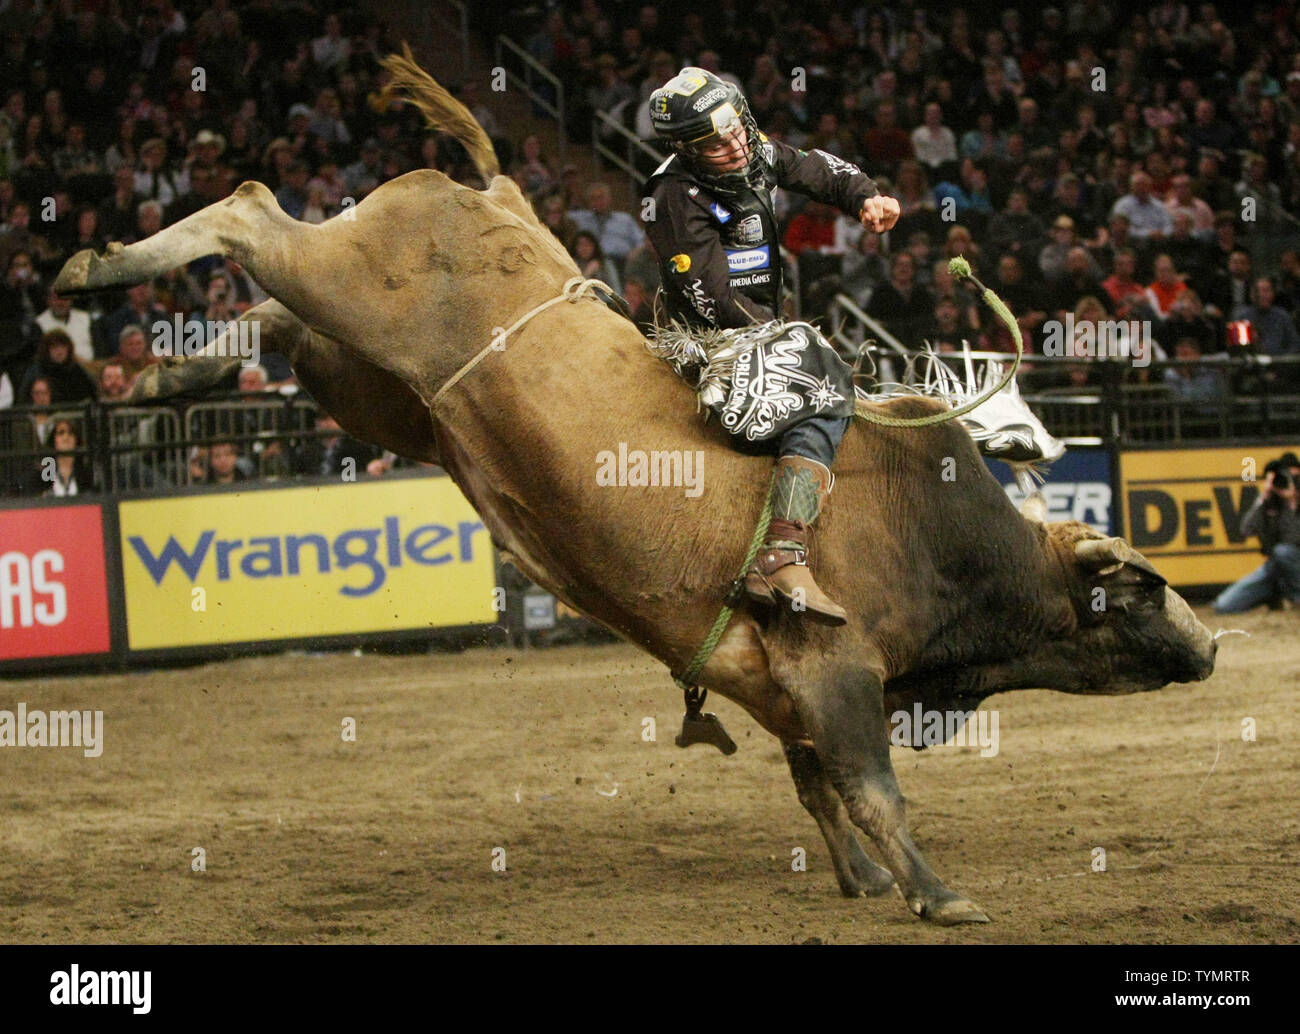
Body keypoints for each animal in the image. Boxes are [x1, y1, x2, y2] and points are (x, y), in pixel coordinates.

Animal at [52, 48, 1217, 925]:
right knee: (252, 214)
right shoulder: (836, 668)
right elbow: (873, 791)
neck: (949, 537)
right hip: (353, 296)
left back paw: (169, 372)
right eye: (1149, 583)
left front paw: (860, 879)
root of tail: (497, 193)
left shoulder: (788, 691)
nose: (1212, 646)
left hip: (377, 385)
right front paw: (935, 892)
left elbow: (819, 790)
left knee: (273, 319)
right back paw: (93, 270)